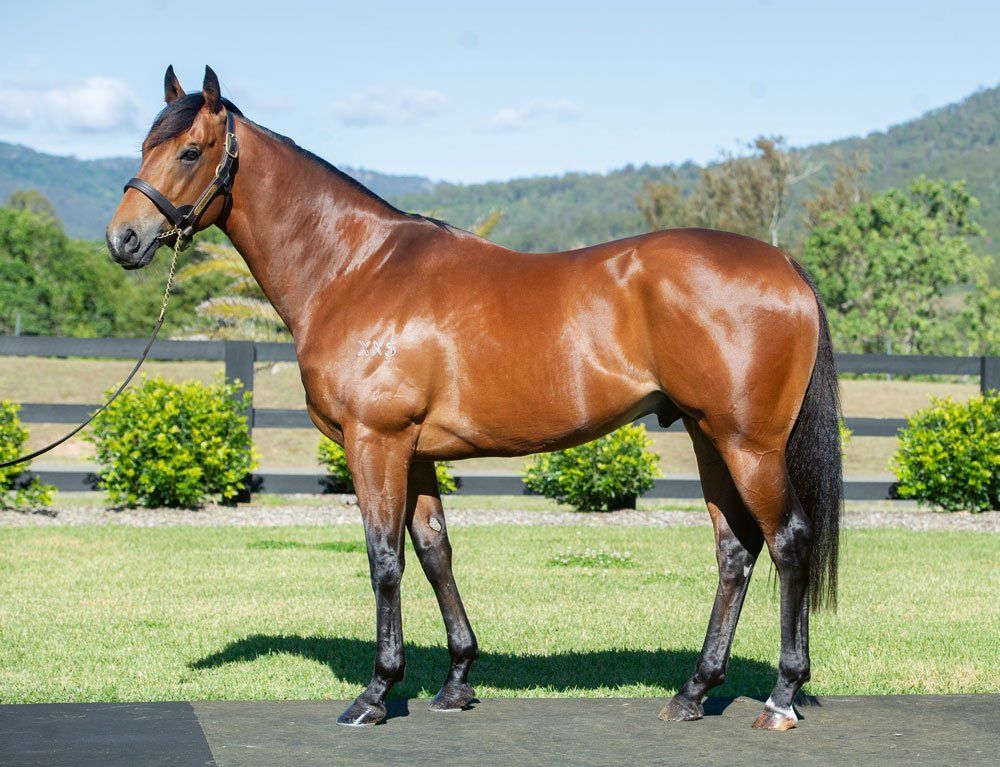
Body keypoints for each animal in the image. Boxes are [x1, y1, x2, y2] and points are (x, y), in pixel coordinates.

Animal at [107, 66, 843, 731]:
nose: (123, 240)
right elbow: (435, 552)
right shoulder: (416, 452)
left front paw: (376, 692)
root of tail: (786, 266)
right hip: (706, 435)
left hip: (748, 444)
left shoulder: (375, 442)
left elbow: (384, 559)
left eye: (190, 151)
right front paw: (456, 680)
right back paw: (693, 691)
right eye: (142, 146)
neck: (355, 268)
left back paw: (780, 698)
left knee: (788, 541)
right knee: (734, 551)